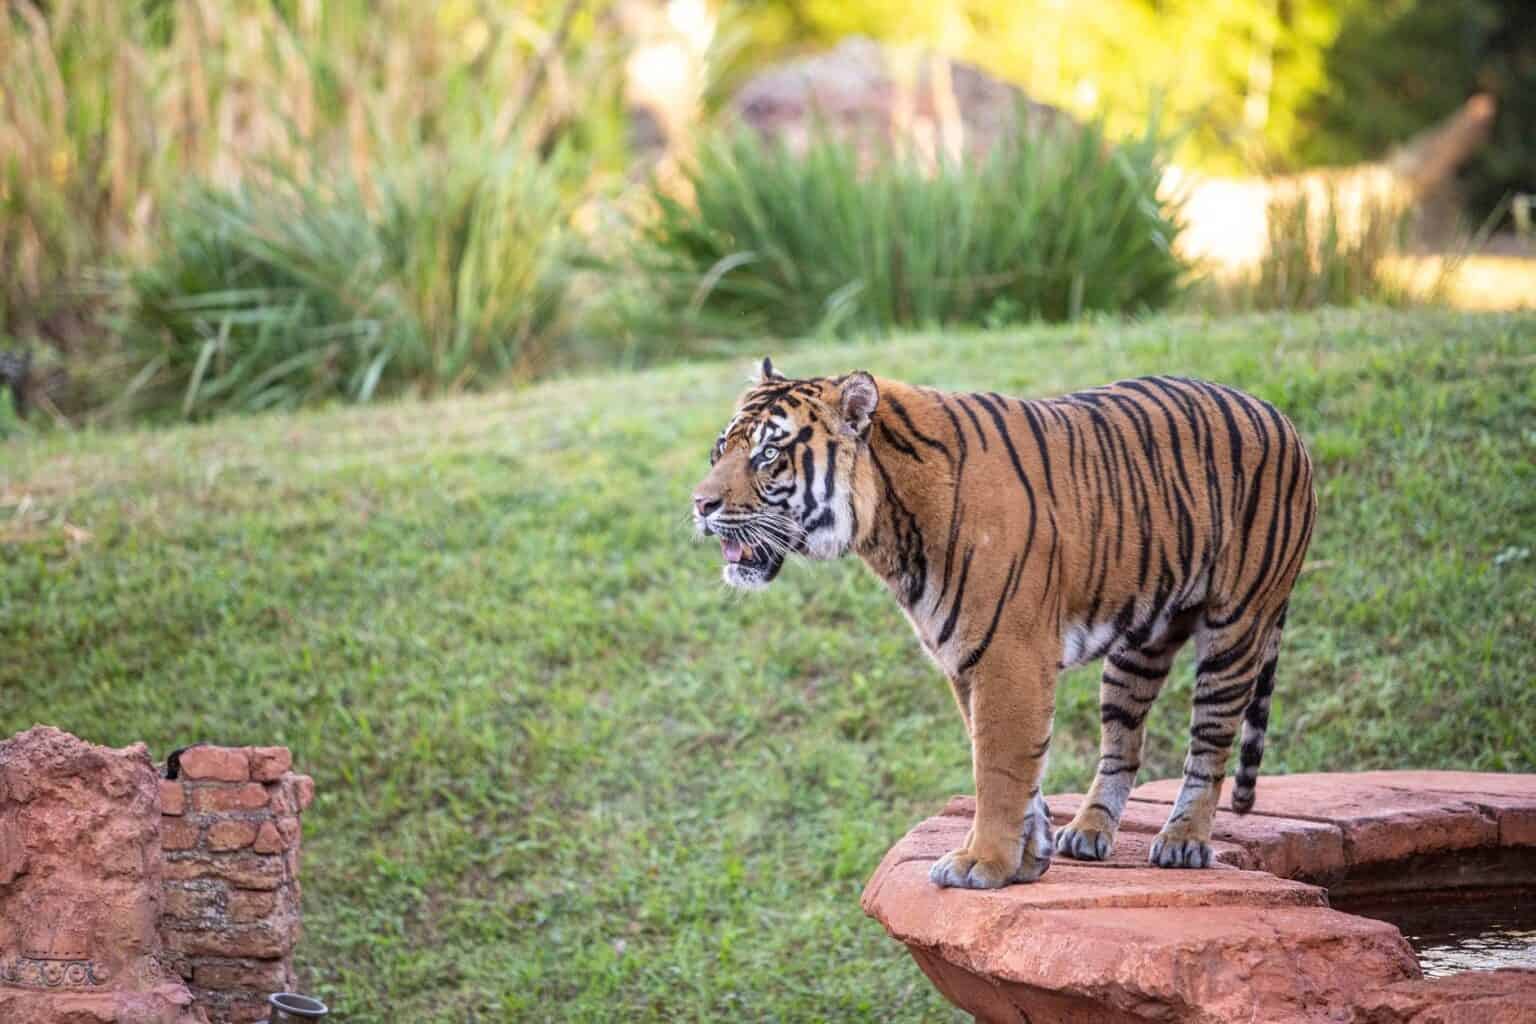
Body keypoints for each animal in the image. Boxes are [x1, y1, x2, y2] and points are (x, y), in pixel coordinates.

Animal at [692, 359, 1316, 888]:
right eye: (720, 449)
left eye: (768, 456)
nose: (699, 505)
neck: (889, 527)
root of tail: (1282, 416)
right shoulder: (963, 658)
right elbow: (1013, 767)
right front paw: (1026, 859)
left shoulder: (1007, 655)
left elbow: (997, 767)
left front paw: (980, 863)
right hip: (1140, 643)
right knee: (1123, 742)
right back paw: (1088, 832)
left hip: (1237, 627)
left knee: (1210, 742)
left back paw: (1184, 840)